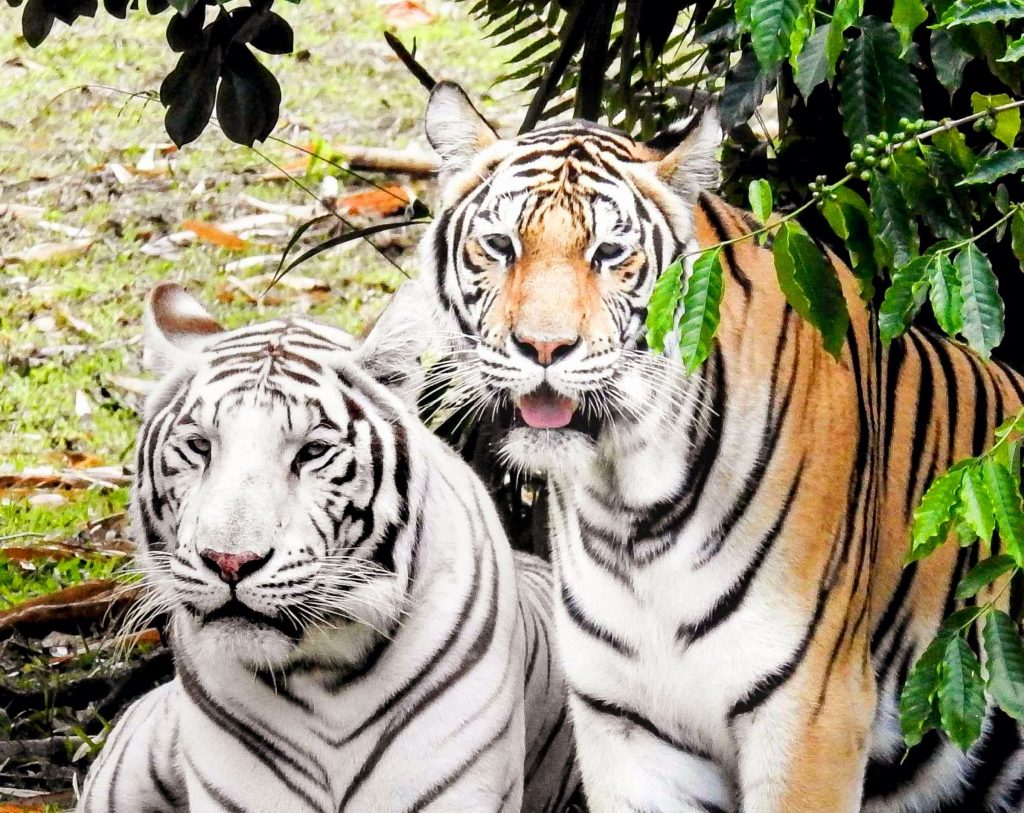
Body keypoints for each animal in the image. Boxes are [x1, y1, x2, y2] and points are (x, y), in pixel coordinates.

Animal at [409, 80, 1024, 812]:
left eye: (609, 254)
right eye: (500, 245)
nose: (544, 346)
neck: (628, 507)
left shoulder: (813, 711)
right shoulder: (627, 724)